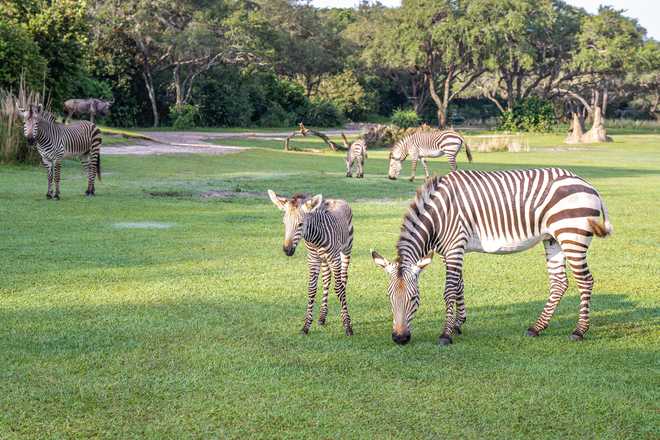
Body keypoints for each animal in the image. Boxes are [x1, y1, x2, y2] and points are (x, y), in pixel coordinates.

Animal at [268, 190, 354, 336]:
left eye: (300, 224)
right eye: (284, 223)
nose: (287, 250)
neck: (314, 239)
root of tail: (337, 199)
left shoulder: (335, 259)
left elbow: (339, 288)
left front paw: (347, 325)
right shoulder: (313, 259)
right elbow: (312, 289)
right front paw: (306, 326)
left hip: (346, 251)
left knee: (343, 280)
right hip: (324, 260)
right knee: (326, 280)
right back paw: (322, 317)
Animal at [371, 168, 612, 346]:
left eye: (414, 298)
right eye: (388, 297)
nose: (400, 339)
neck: (438, 217)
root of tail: (587, 184)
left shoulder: (454, 246)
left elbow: (449, 290)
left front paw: (446, 334)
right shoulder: (450, 250)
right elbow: (459, 286)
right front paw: (458, 324)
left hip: (572, 236)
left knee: (585, 281)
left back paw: (579, 331)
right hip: (554, 239)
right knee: (559, 283)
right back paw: (536, 328)